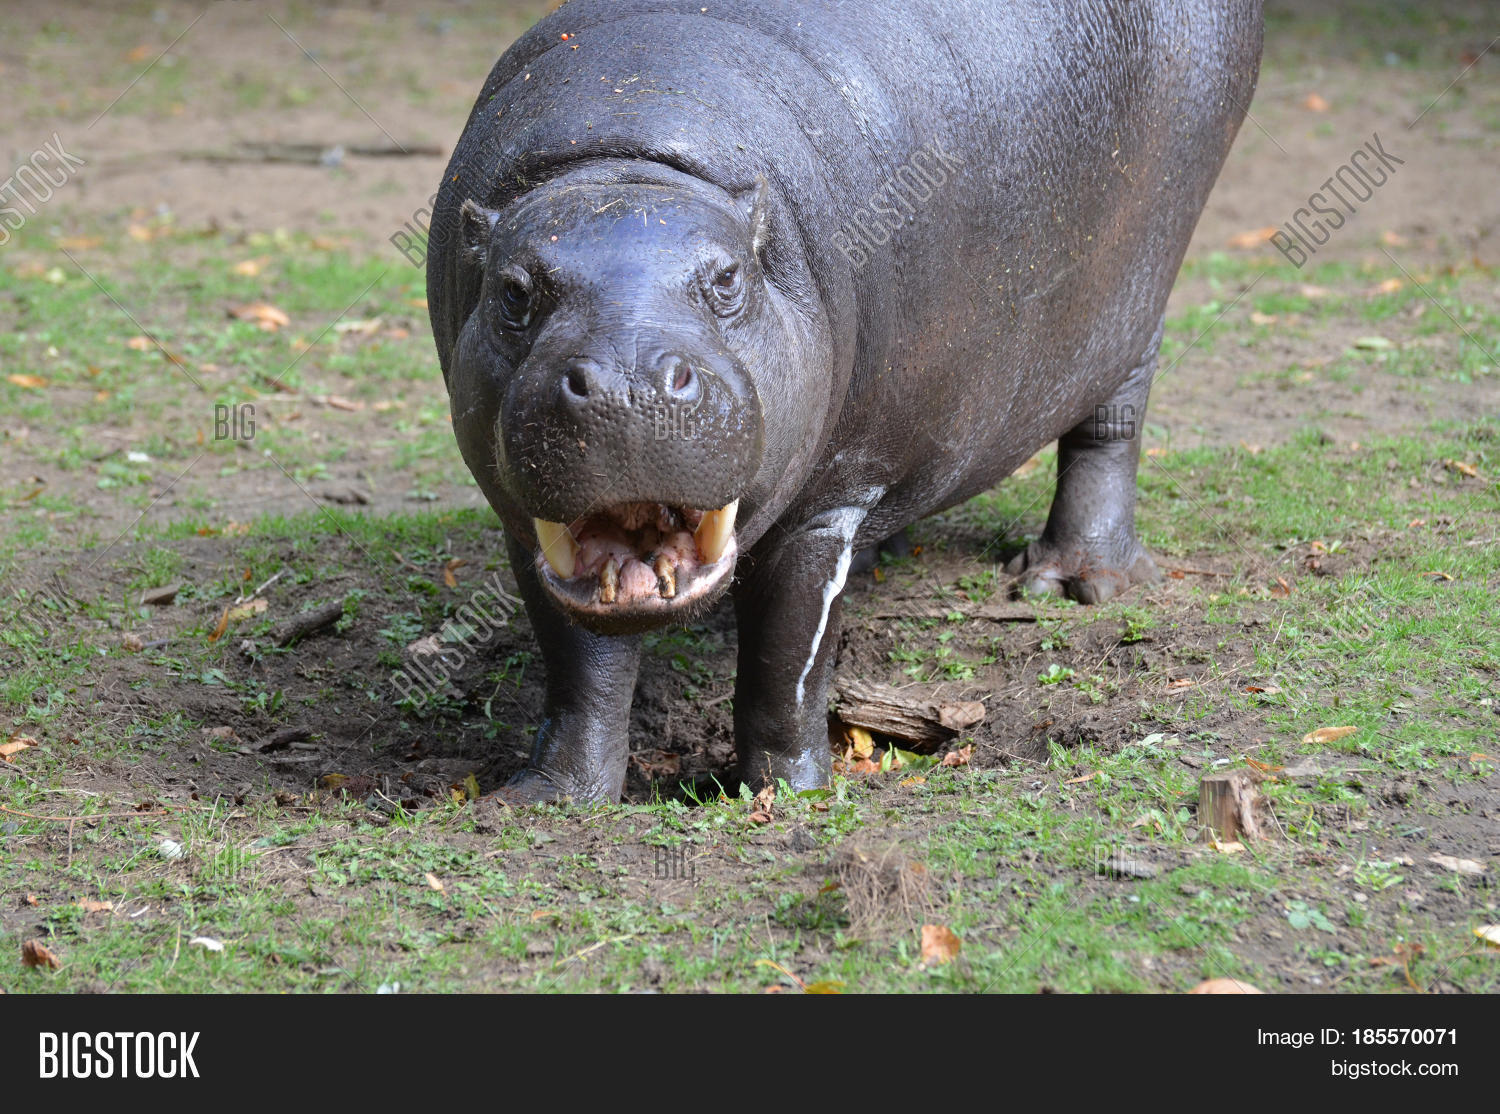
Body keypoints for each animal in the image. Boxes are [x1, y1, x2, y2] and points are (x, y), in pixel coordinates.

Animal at [427, 0, 1264, 803]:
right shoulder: (532, 524)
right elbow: (580, 668)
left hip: (1138, 292)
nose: (626, 380)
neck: (625, 162)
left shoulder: (827, 500)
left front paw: (788, 792)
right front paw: (548, 800)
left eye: (728, 279)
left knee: (1110, 429)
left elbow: (787, 657)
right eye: (512, 291)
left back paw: (1074, 582)